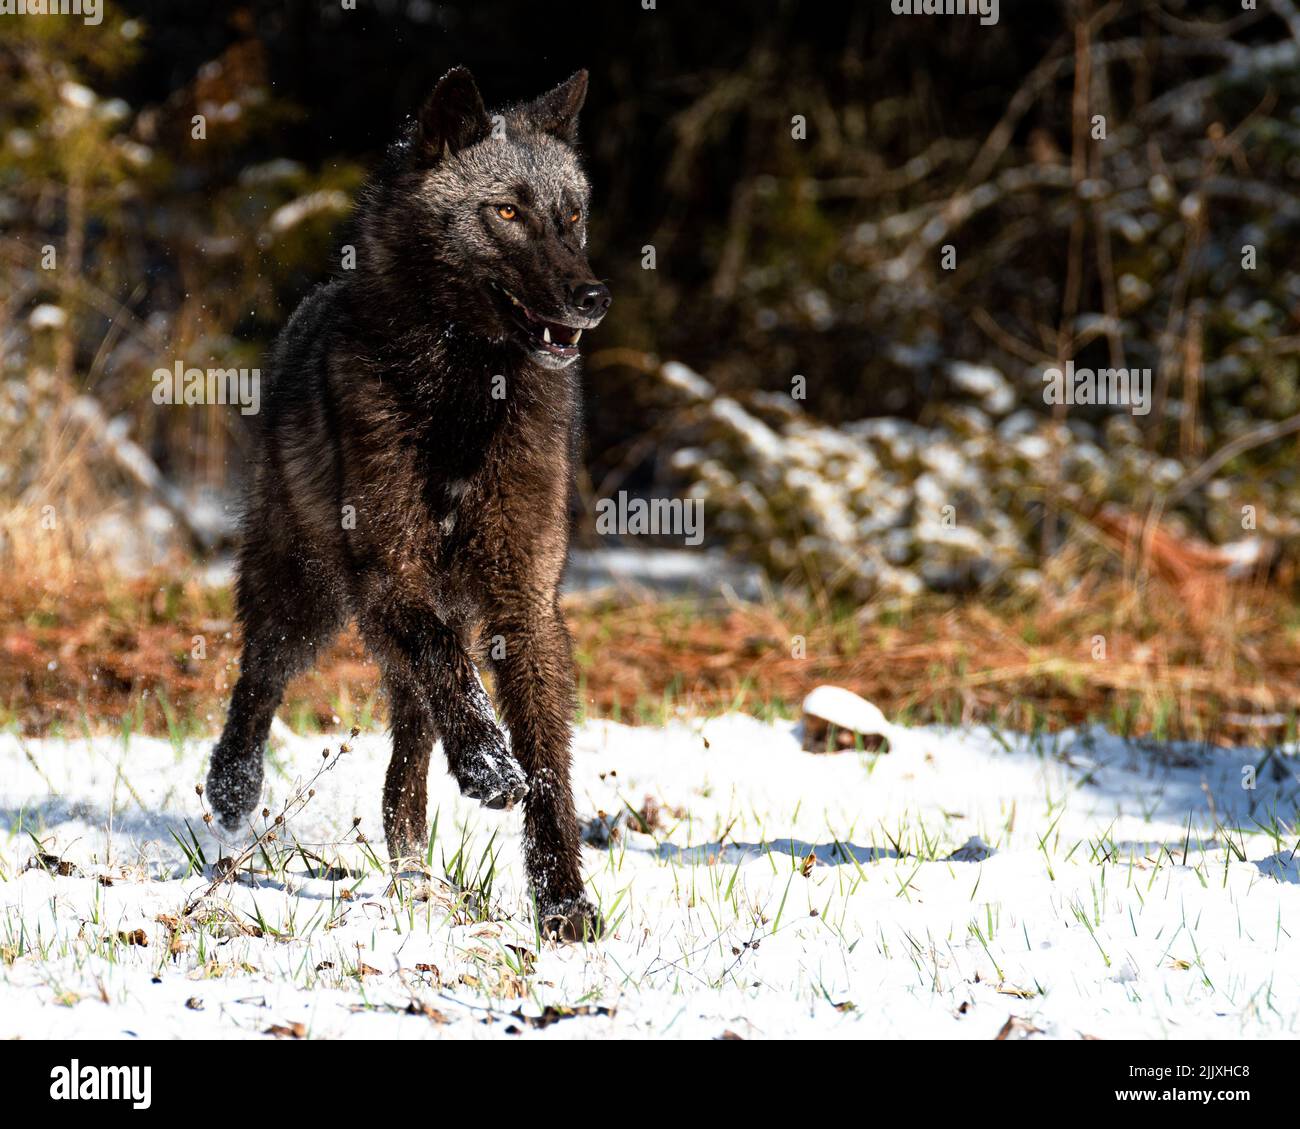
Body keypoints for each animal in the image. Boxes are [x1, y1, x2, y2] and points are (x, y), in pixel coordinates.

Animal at [204, 66, 611, 941]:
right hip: (305, 592)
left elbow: (548, 766)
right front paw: (489, 764)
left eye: (571, 216)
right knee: (260, 675)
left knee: (408, 749)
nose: (592, 295)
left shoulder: (525, 603)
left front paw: (564, 904)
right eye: (506, 212)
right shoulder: (392, 574)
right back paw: (232, 783)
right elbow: (448, 666)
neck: (465, 393)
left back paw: (412, 868)